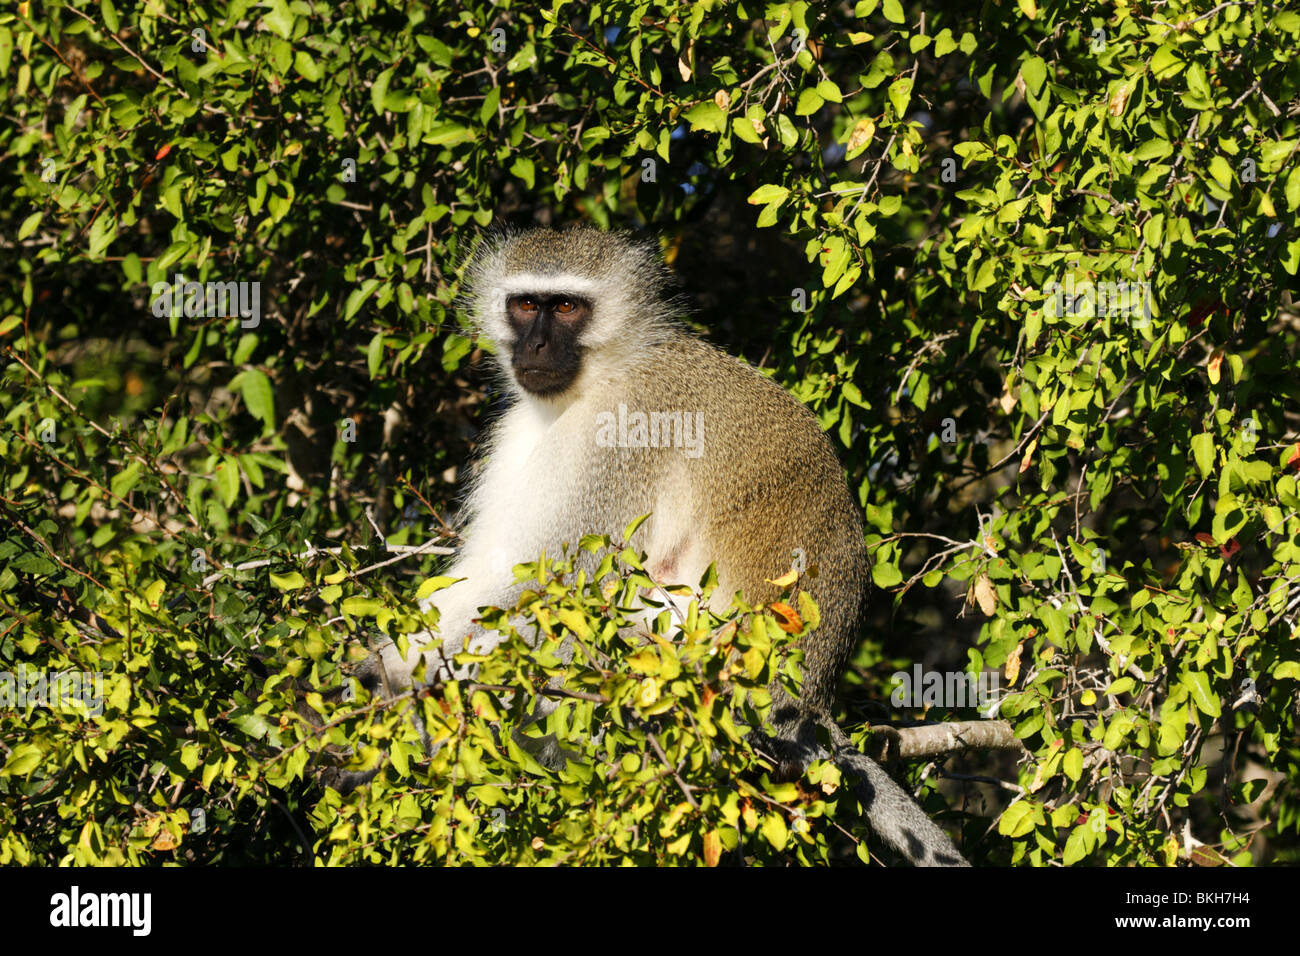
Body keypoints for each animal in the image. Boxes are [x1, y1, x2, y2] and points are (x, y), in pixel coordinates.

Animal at [350, 225, 968, 867]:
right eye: (525, 305)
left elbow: (558, 582)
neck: (600, 376)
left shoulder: (625, 426)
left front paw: (385, 675)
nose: (536, 346)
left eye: (566, 307)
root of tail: (806, 708)